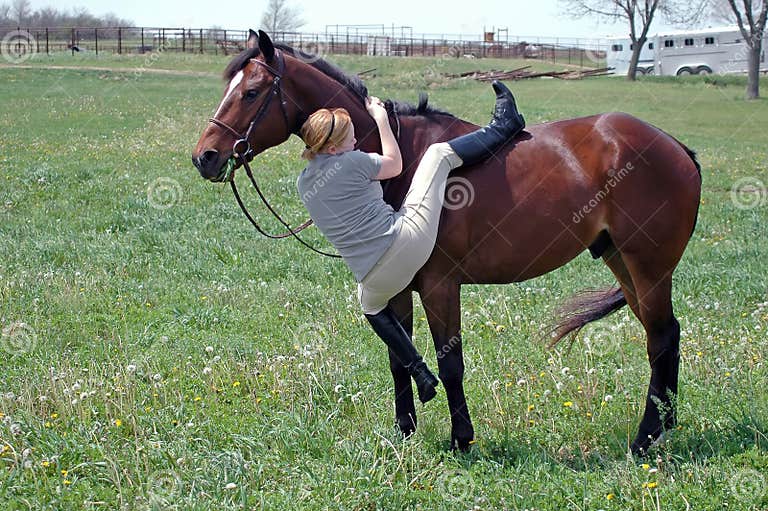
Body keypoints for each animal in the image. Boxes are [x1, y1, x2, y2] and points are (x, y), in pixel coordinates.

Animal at [192, 30, 702, 454]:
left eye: (251, 92)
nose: (205, 156)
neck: (404, 158)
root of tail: (674, 145)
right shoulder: (397, 288)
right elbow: (398, 358)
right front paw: (404, 432)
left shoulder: (441, 285)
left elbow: (450, 362)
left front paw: (461, 439)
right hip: (623, 262)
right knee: (665, 336)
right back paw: (664, 426)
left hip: (647, 267)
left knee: (661, 339)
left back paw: (645, 439)